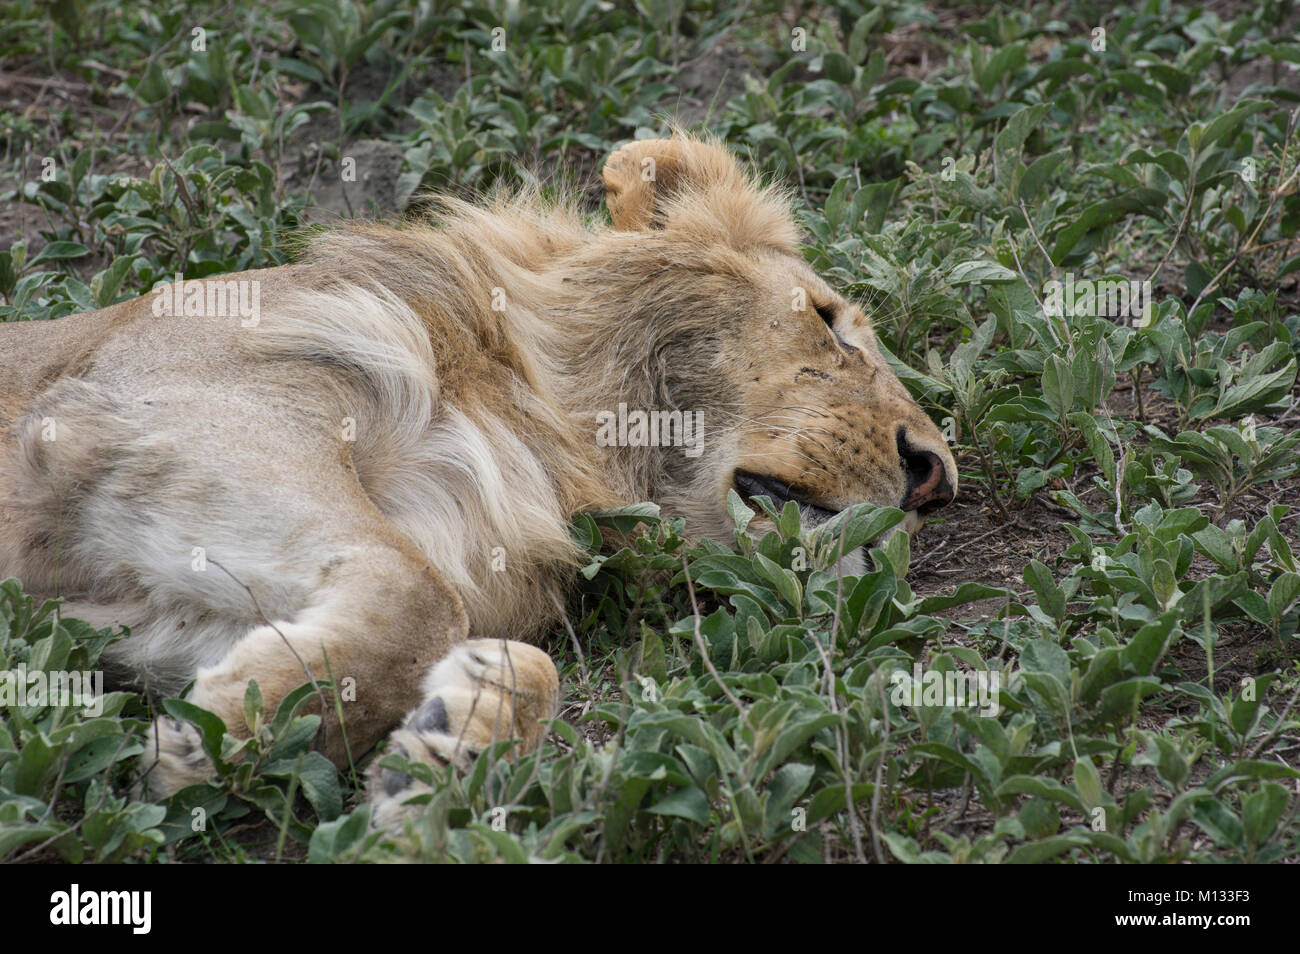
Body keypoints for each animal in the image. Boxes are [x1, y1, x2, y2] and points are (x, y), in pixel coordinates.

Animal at [0, 135, 956, 829]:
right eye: (830, 323)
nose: (935, 477)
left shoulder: (146, 604)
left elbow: (513, 657)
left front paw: (450, 736)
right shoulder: (173, 404)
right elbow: (421, 595)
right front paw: (223, 737)